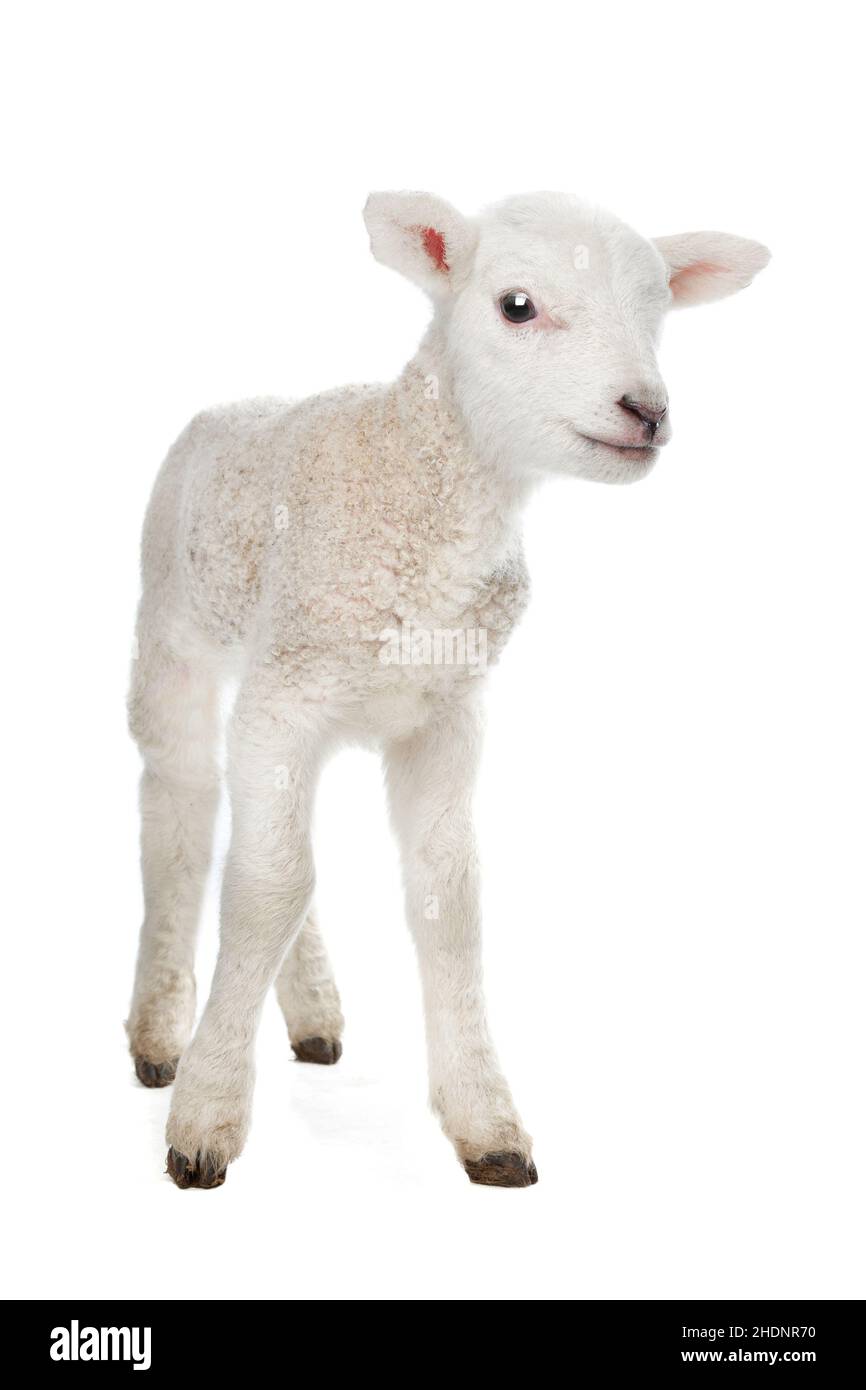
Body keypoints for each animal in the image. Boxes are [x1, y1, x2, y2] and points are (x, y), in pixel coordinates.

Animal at [127, 191, 769, 1189]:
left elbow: (445, 901)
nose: (647, 410)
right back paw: (160, 1033)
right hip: (176, 635)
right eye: (516, 306)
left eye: (659, 309)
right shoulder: (288, 696)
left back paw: (311, 1013)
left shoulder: (444, 713)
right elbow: (267, 888)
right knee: (183, 816)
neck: (416, 484)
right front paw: (206, 1115)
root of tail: (233, 402)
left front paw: (486, 1120)